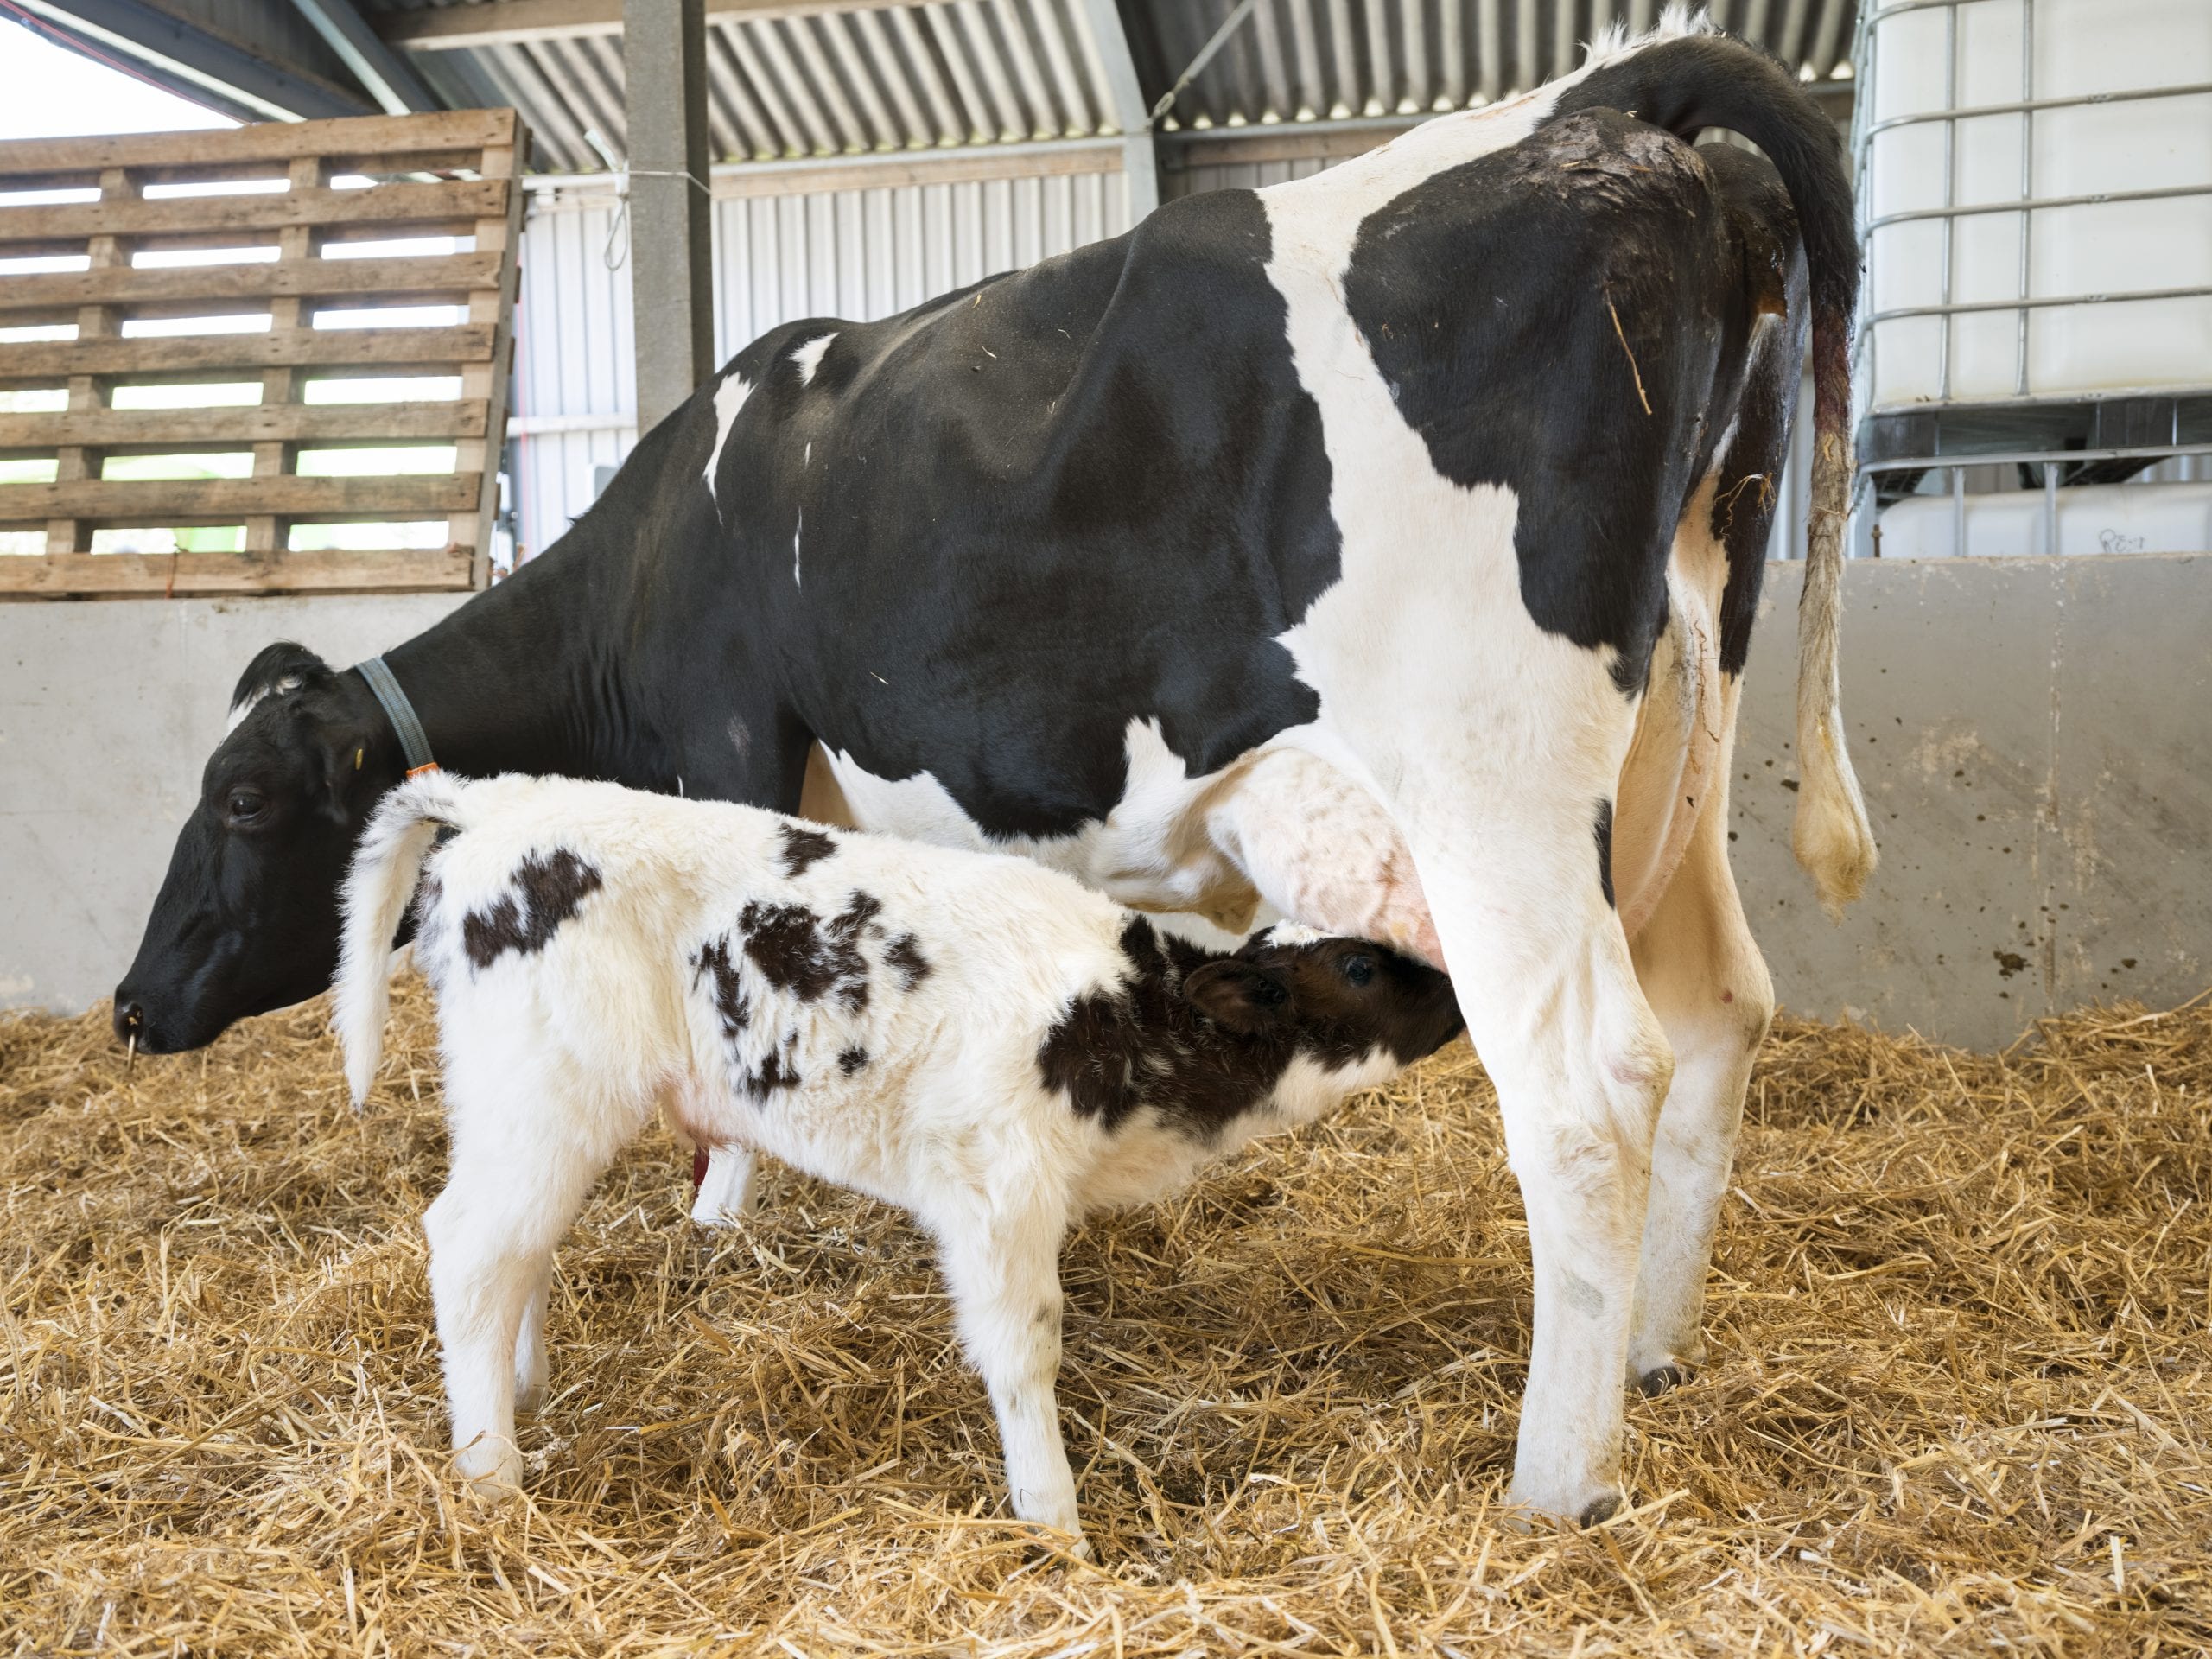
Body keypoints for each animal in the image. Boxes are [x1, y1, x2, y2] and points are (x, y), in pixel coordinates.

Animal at [333, 771, 1465, 1551]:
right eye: (1359, 966)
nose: (1457, 983)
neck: (1126, 1012)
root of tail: (498, 797)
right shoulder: (997, 1187)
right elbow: (1024, 1351)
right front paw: (1056, 1524)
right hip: (544, 1090)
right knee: (471, 1248)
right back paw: (491, 1475)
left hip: (530, 1110)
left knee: (517, 1250)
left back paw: (522, 1393)